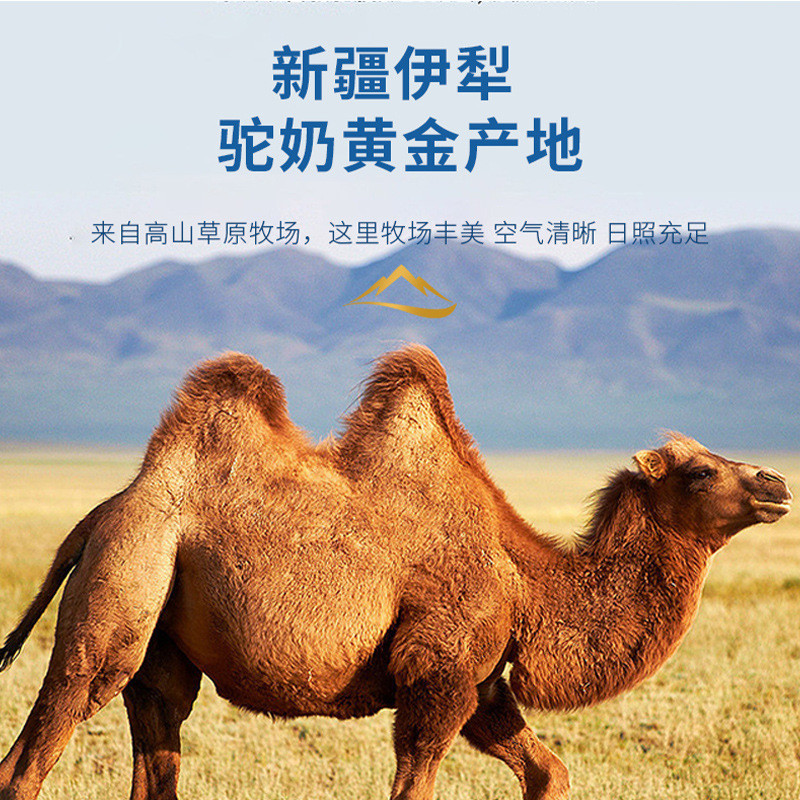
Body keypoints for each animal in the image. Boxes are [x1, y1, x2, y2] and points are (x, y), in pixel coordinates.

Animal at [0, 345, 793, 800]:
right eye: (700, 470)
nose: (777, 482)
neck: (526, 580)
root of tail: (101, 513)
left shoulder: (481, 679)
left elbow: (549, 771)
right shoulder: (437, 670)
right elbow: (416, 784)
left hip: (162, 645)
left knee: (157, 733)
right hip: (125, 580)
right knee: (37, 746)